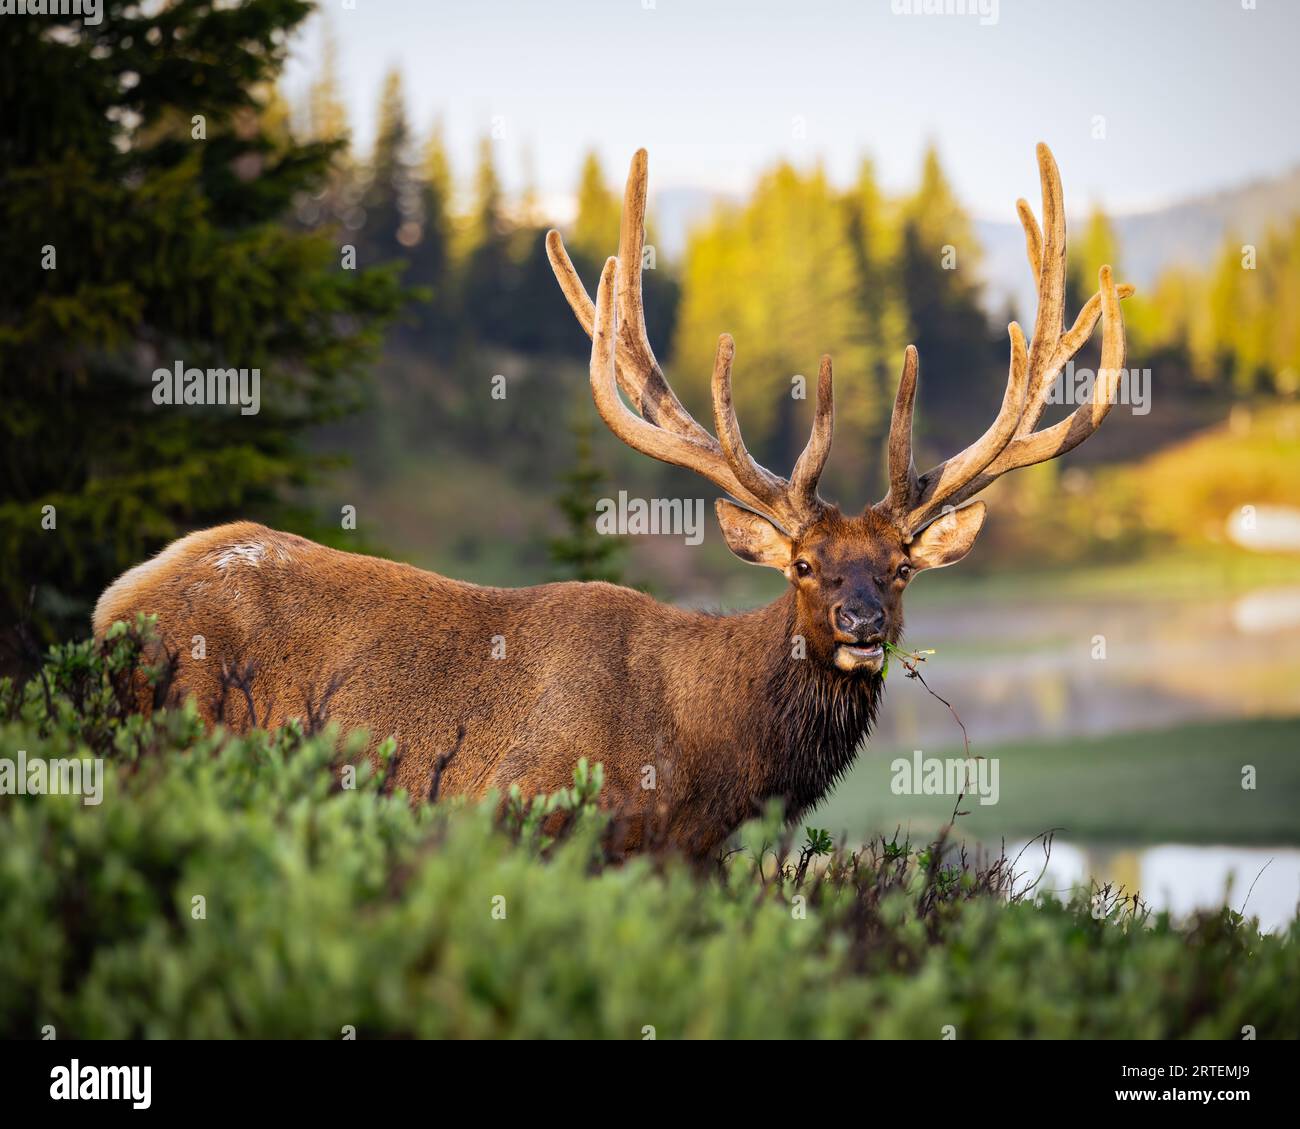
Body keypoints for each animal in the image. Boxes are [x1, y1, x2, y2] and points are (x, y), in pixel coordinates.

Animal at [93, 143, 1132, 857]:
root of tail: (114, 602)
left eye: (904, 564)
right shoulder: (522, 806)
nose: (864, 622)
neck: (704, 771)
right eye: (804, 563)